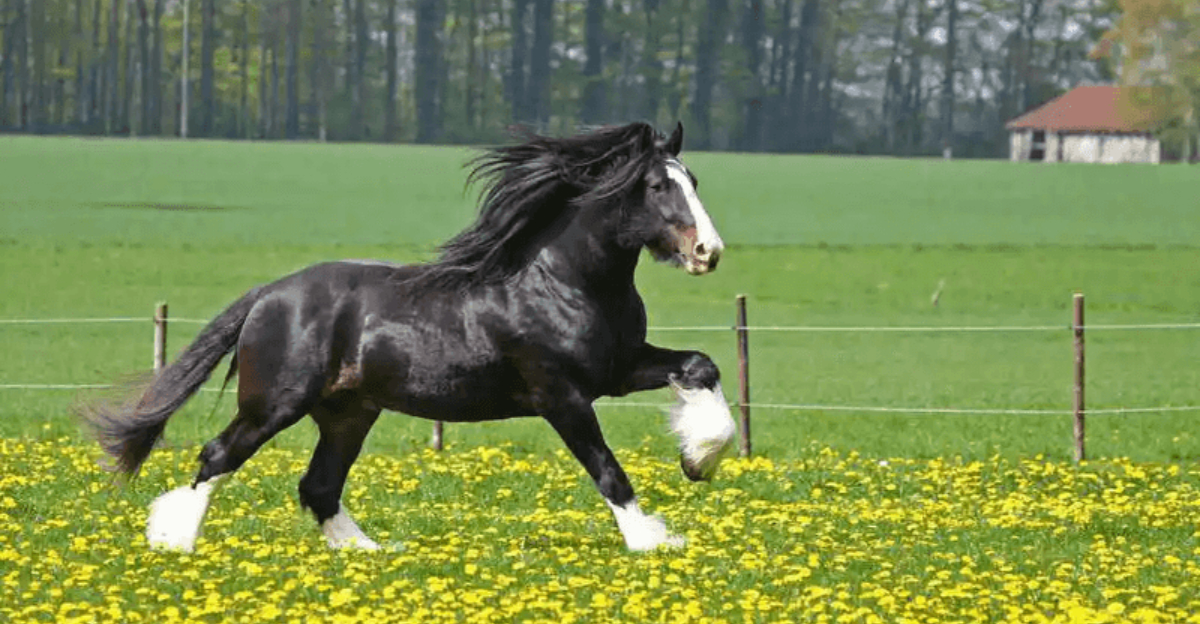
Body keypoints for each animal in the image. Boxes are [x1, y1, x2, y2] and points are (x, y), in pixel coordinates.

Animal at [82, 121, 736, 553]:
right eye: (657, 187)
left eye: (694, 179)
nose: (709, 251)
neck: (562, 280)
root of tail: (268, 294)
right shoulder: (562, 395)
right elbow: (606, 468)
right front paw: (652, 539)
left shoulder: (618, 370)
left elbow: (701, 366)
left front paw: (697, 460)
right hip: (274, 404)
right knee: (217, 456)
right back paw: (173, 540)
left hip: (348, 412)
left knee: (318, 485)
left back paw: (368, 554)